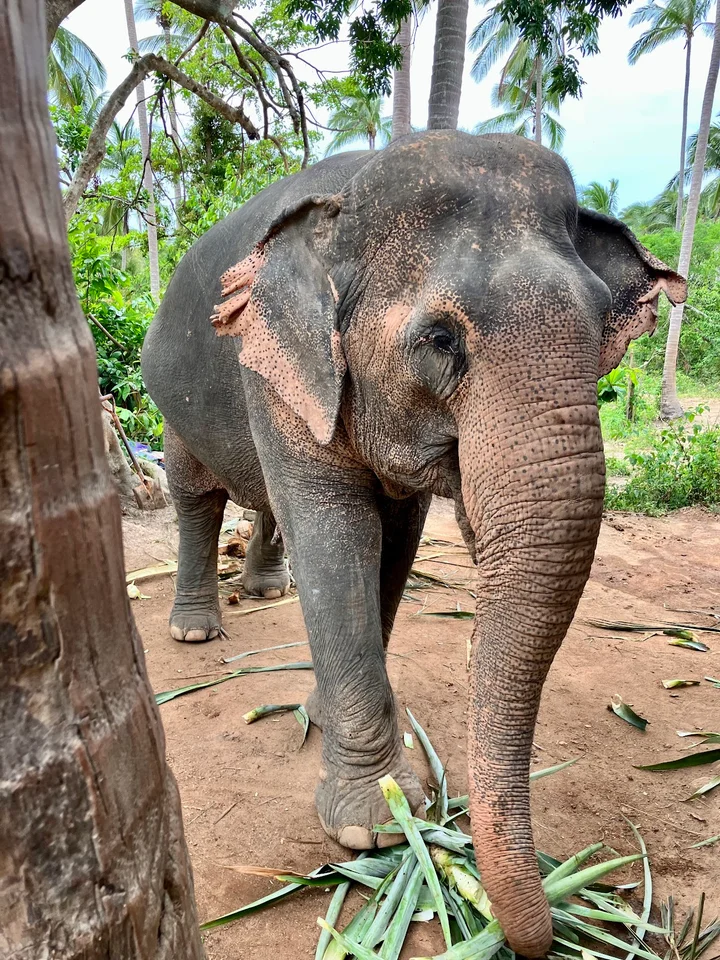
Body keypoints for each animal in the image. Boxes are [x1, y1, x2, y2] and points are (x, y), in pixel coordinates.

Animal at [141, 131, 685, 957]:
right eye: (440, 339)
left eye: (600, 330)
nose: (539, 934)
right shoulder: (274, 361)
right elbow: (336, 533)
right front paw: (375, 827)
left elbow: (392, 542)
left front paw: (338, 728)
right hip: (178, 401)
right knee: (195, 495)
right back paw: (197, 631)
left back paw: (264, 591)